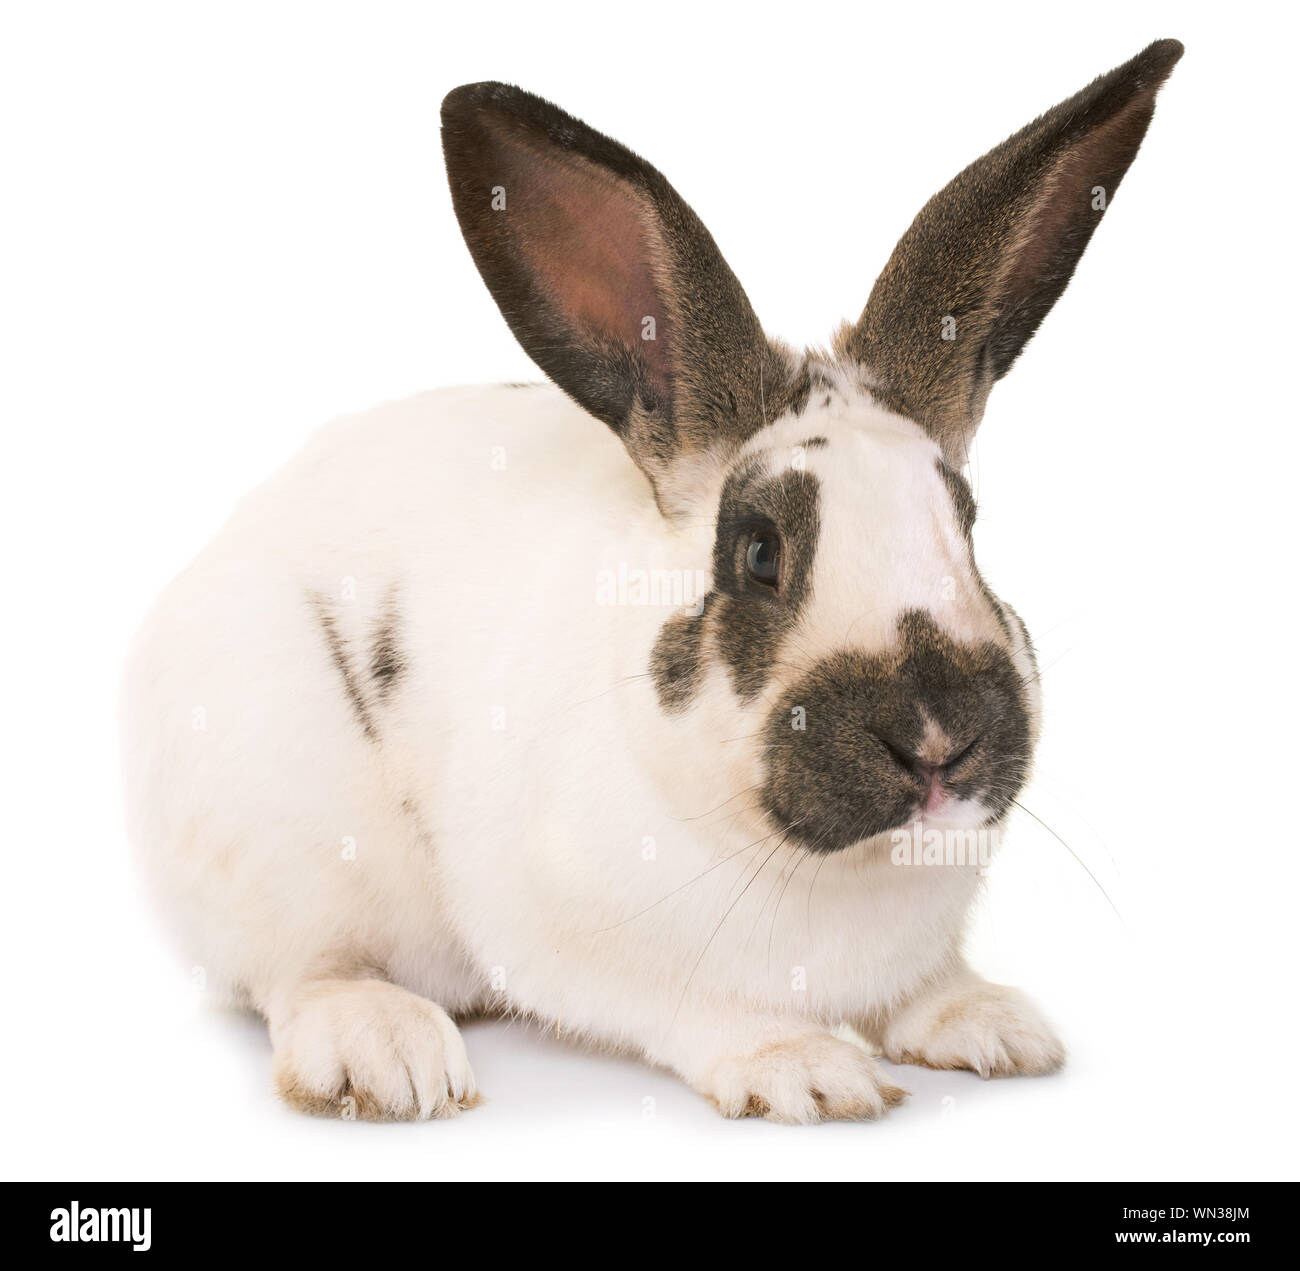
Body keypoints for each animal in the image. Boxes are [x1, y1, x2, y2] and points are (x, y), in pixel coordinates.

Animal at [122, 39, 1181, 1124]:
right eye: (758, 552)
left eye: (966, 523)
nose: (937, 737)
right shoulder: (585, 942)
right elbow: (697, 1009)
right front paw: (803, 1069)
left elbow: (924, 986)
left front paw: (993, 1025)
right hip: (277, 838)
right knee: (301, 969)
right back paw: (383, 1050)